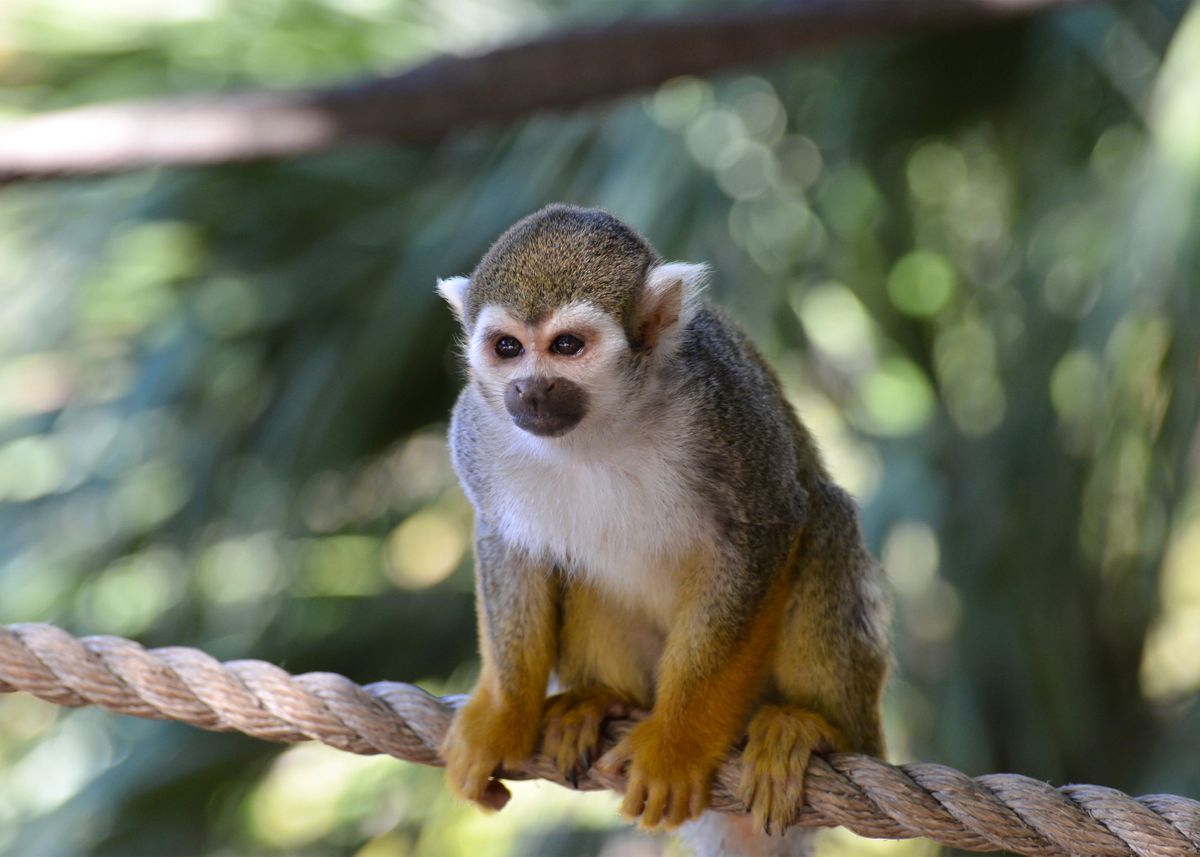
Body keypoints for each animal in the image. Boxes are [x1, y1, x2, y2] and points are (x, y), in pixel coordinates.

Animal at [435, 204, 889, 853]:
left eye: (566, 346)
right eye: (507, 347)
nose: (529, 388)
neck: (602, 425)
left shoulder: (723, 405)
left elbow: (765, 527)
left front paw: (677, 744)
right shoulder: (475, 427)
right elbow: (507, 546)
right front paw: (501, 717)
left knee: (826, 516)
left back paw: (818, 728)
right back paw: (600, 701)